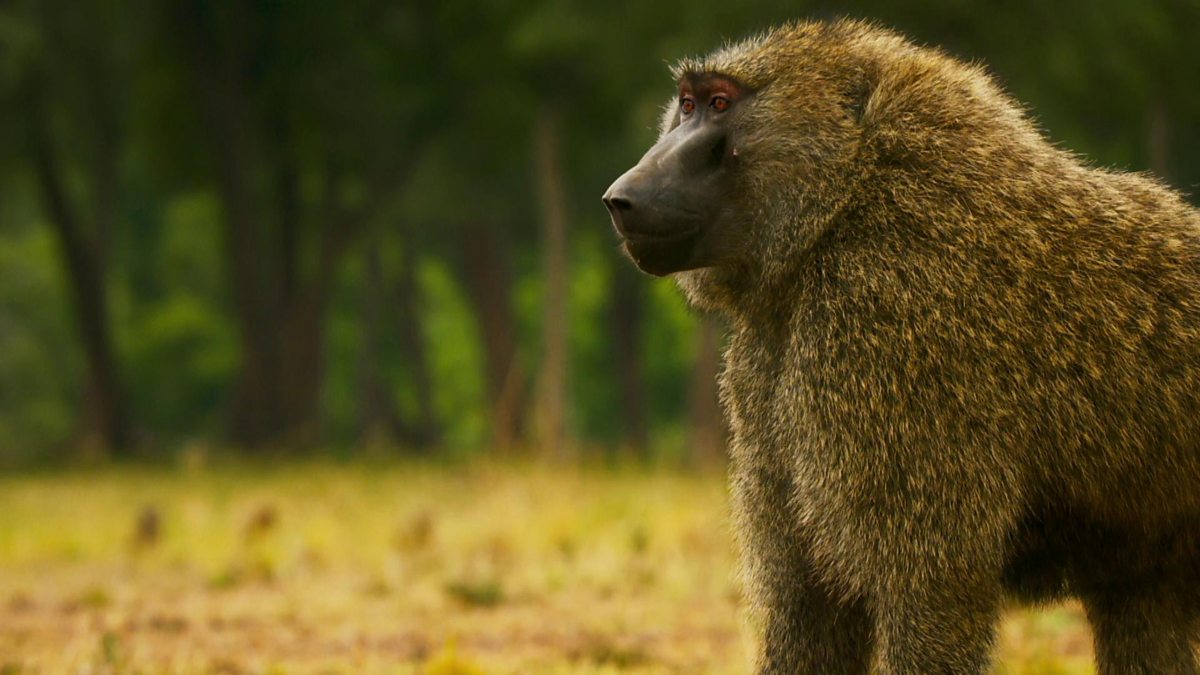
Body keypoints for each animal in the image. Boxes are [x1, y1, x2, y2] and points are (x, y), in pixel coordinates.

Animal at [603, 19, 1200, 675]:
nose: (620, 197)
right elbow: (813, 607)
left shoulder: (881, 320)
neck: (846, 201)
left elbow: (930, 598)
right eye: (686, 105)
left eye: (719, 104)